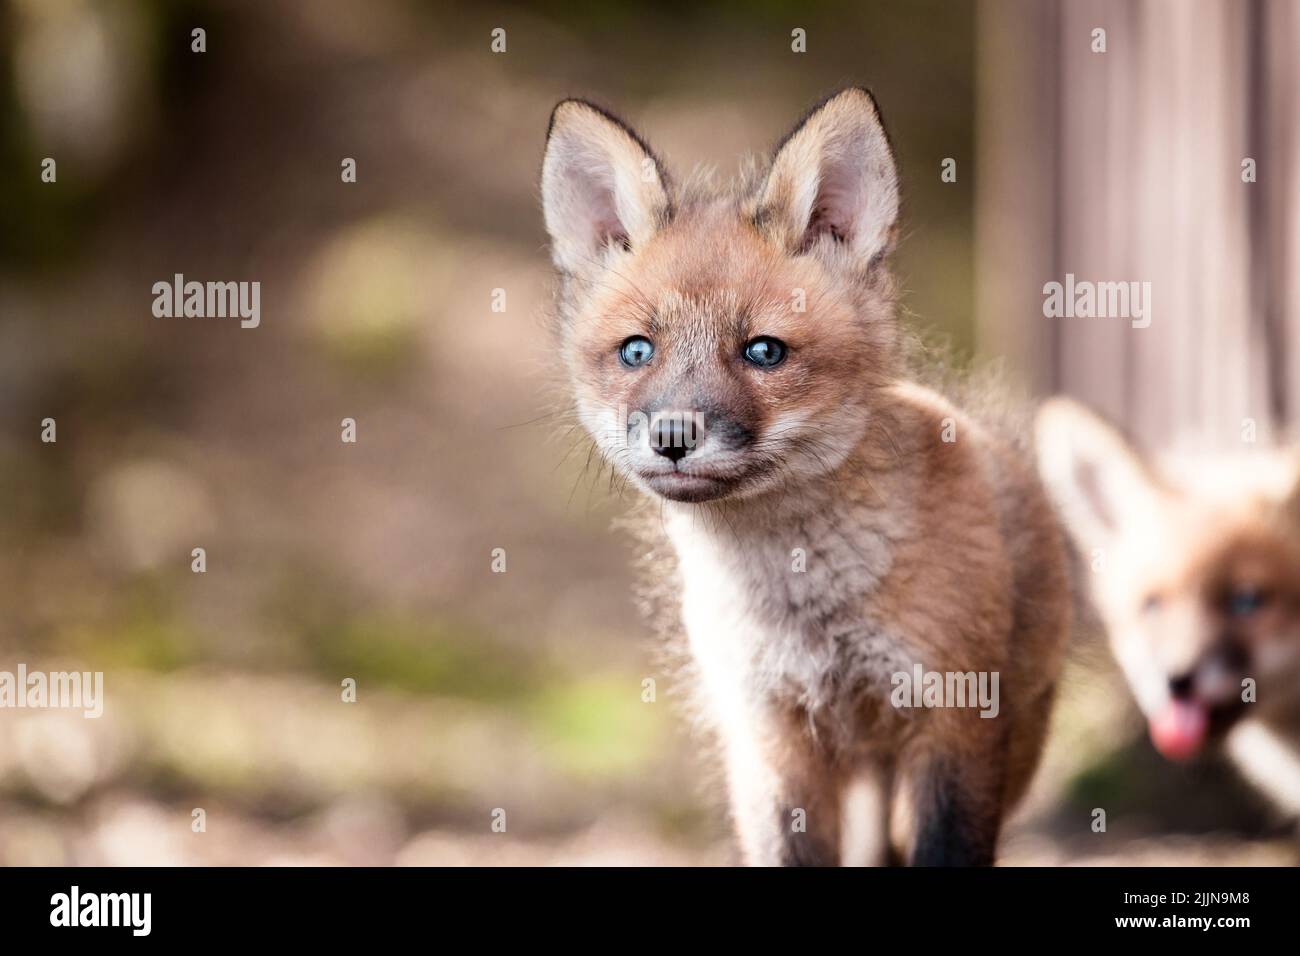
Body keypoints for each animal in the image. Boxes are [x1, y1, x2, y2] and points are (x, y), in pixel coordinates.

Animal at [539, 87, 1071, 865]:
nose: (672, 435)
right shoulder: (767, 736)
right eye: (637, 351)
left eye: (764, 351)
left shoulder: (955, 721)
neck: (806, 615)